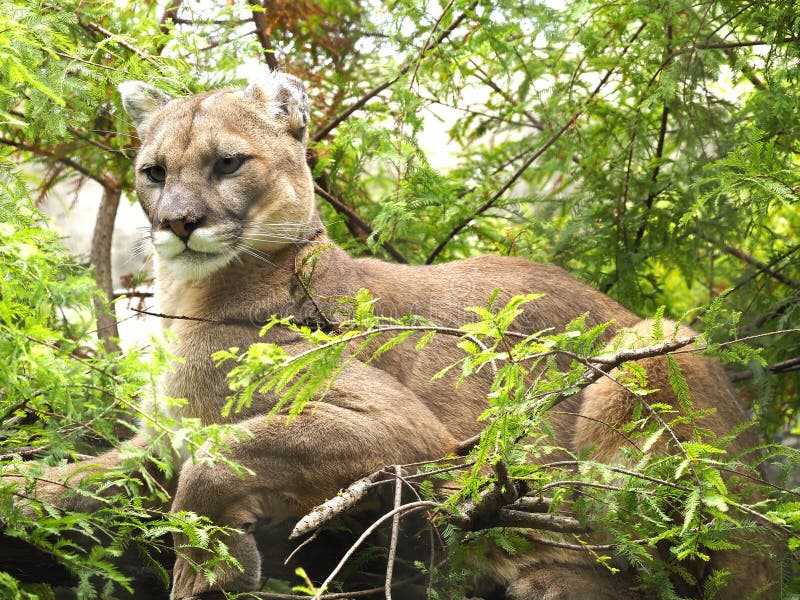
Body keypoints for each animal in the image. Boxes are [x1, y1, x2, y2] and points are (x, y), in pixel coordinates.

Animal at [21, 71, 775, 599]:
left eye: (228, 163)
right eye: (153, 172)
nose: (177, 221)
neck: (188, 296)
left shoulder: (406, 431)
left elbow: (220, 454)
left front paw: (208, 571)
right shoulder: (157, 442)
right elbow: (59, 483)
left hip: (658, 346)